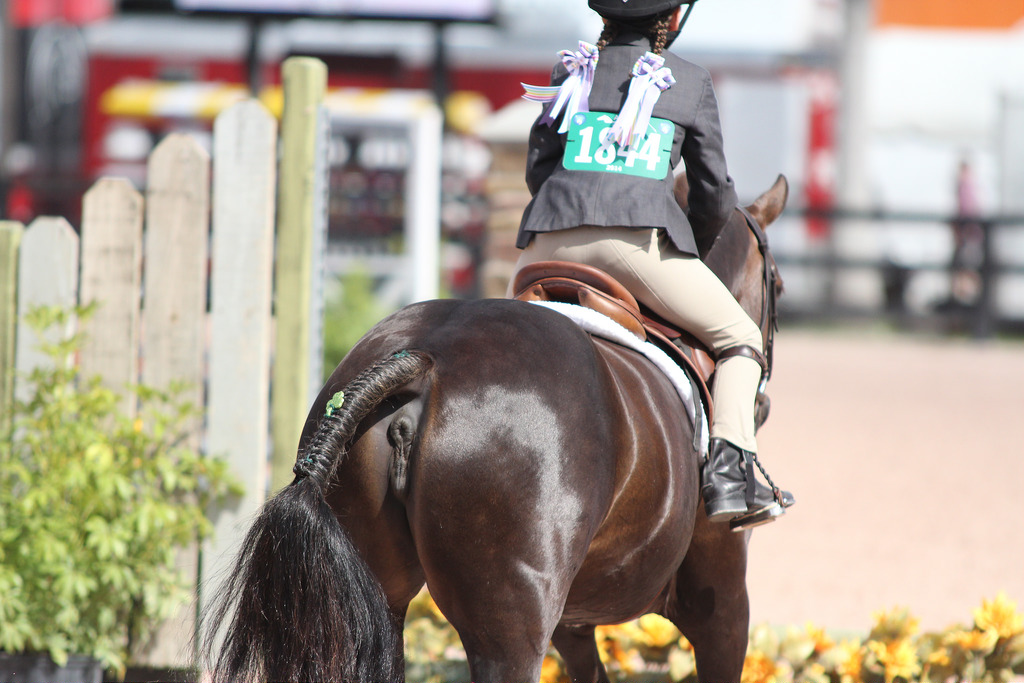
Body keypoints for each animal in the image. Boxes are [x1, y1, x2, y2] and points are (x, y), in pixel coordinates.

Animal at [202, 174, 789, 683]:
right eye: (779, 286)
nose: (763, 407)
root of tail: (422, 359)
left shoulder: (574, 620)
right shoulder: (721, 606)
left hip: (378, 601)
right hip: (509, 625)